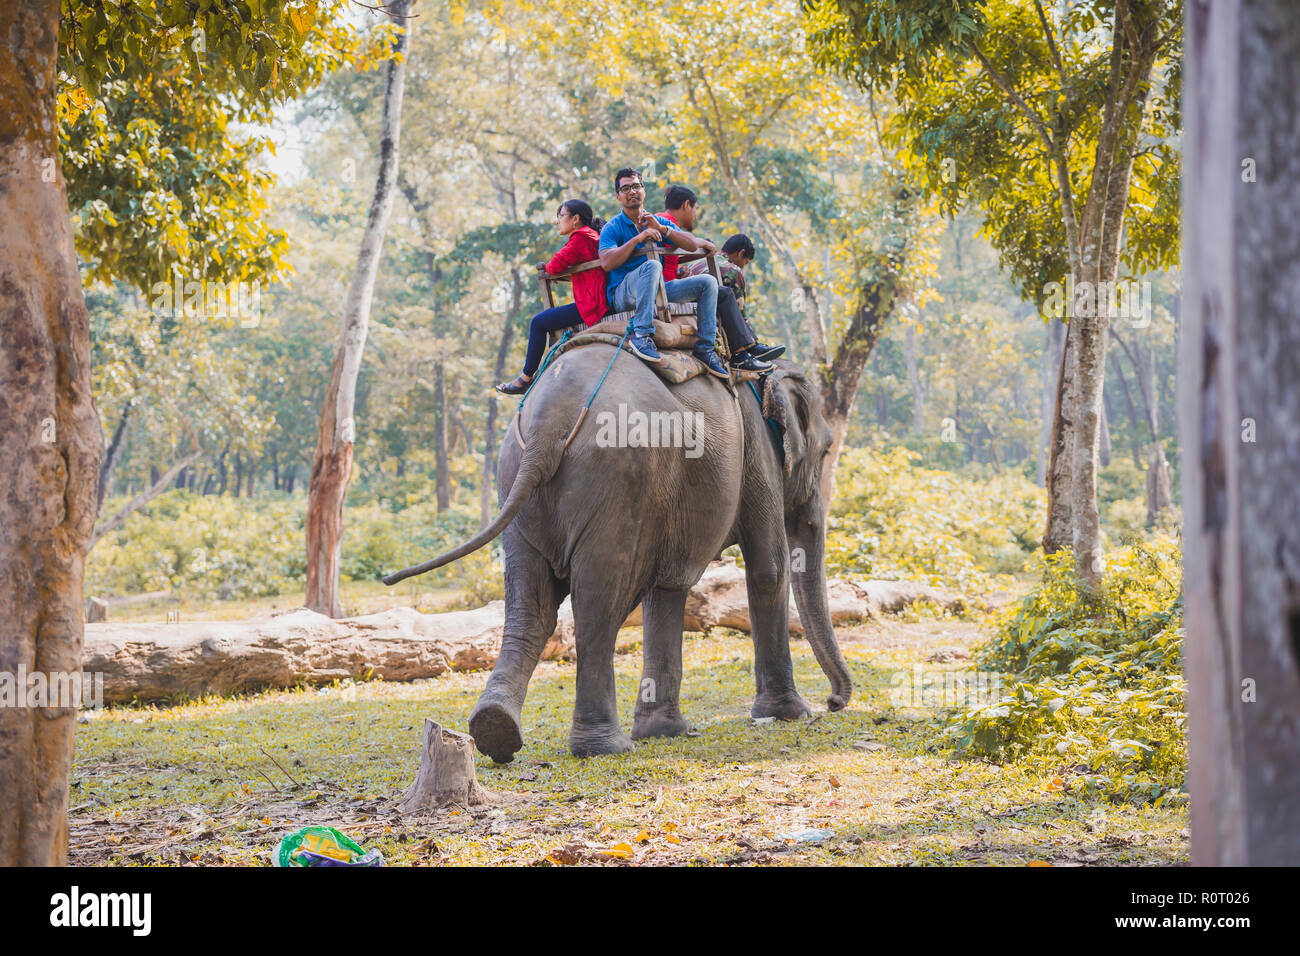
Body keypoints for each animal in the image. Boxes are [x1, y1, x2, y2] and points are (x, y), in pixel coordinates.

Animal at [383, 345, 852, 762]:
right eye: (827, 450)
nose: (834, 702)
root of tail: (546, 424)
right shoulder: (759, 453)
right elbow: (768, 570)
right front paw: (790, 714)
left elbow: (668, 589)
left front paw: (665, 732)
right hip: (619, 482)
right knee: (599, 605)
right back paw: (604, 747)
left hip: (514, 480)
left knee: (531, 606)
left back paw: (495, 729)